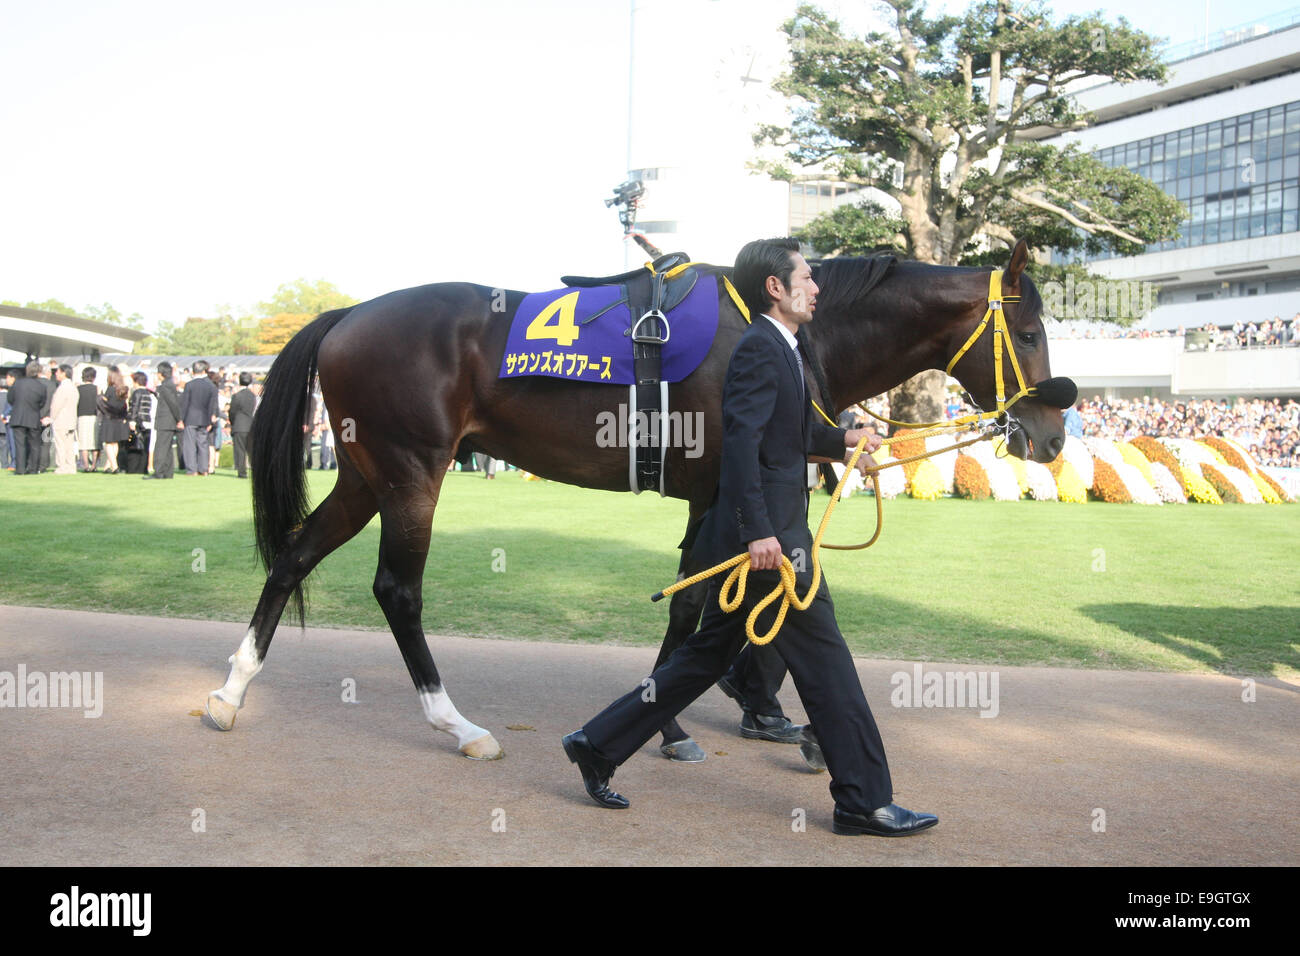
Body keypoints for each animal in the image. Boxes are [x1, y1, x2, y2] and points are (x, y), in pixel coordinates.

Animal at [205, 239, 1067, 763]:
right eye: (1028, 331)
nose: (1051, 435)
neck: (777, 332)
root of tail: (348, 314)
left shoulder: (721, 496)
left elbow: (720, 599)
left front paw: (749, 707)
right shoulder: (724, 488)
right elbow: (705, 603)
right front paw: (680, 718)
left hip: (363, 472)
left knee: (294, 554)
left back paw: (231, 691)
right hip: (413, 469)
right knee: (398, 589)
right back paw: (456, 723)